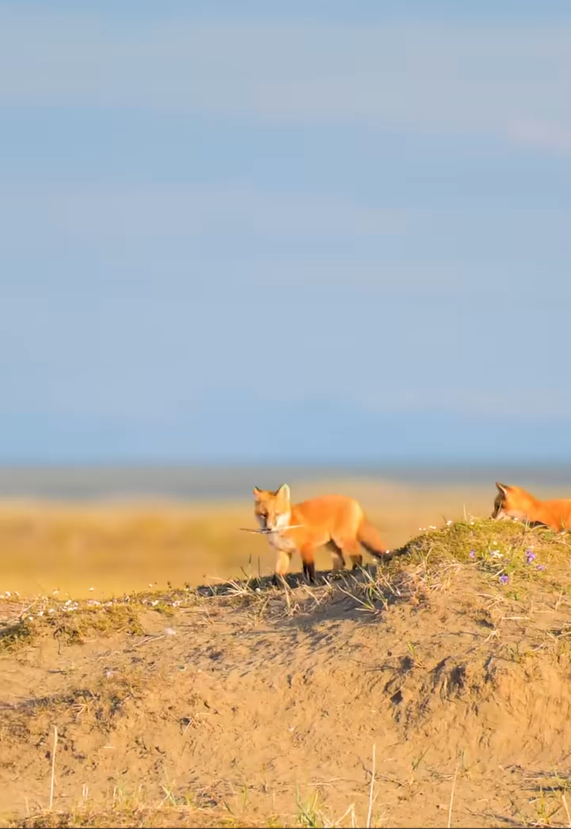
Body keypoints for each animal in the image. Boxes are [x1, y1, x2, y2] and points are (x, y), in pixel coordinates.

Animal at [252, 483, 390, 582]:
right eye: (263, 515)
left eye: (277, 514)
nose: (269, 528)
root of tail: (353, 500)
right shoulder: (283, 552)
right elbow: (278, 574)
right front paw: (275, 587)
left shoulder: (306, 548)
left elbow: (309, 569)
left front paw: (311, 584)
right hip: (330, 544)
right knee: (341, 561)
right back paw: (335, 577)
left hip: (341, 540)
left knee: (357, 556)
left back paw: (353, 573)